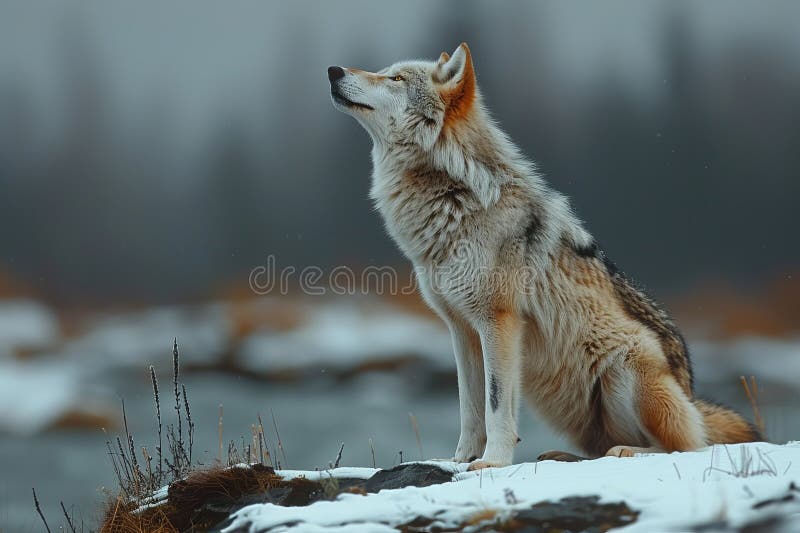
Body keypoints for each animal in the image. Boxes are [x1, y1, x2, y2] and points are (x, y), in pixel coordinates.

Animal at [328, 43, 762, 470]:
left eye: (395, 78)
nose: (333, 70)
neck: (454, 196)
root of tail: (690, 391)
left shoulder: (498, 322)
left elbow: (496, 405)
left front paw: (491, 462)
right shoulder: (461, 329)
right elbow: (469, 407)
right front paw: (458, 460)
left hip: (626, 369)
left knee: (686, 446)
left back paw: (627, 452)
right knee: (606, 447)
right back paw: (564, 457)